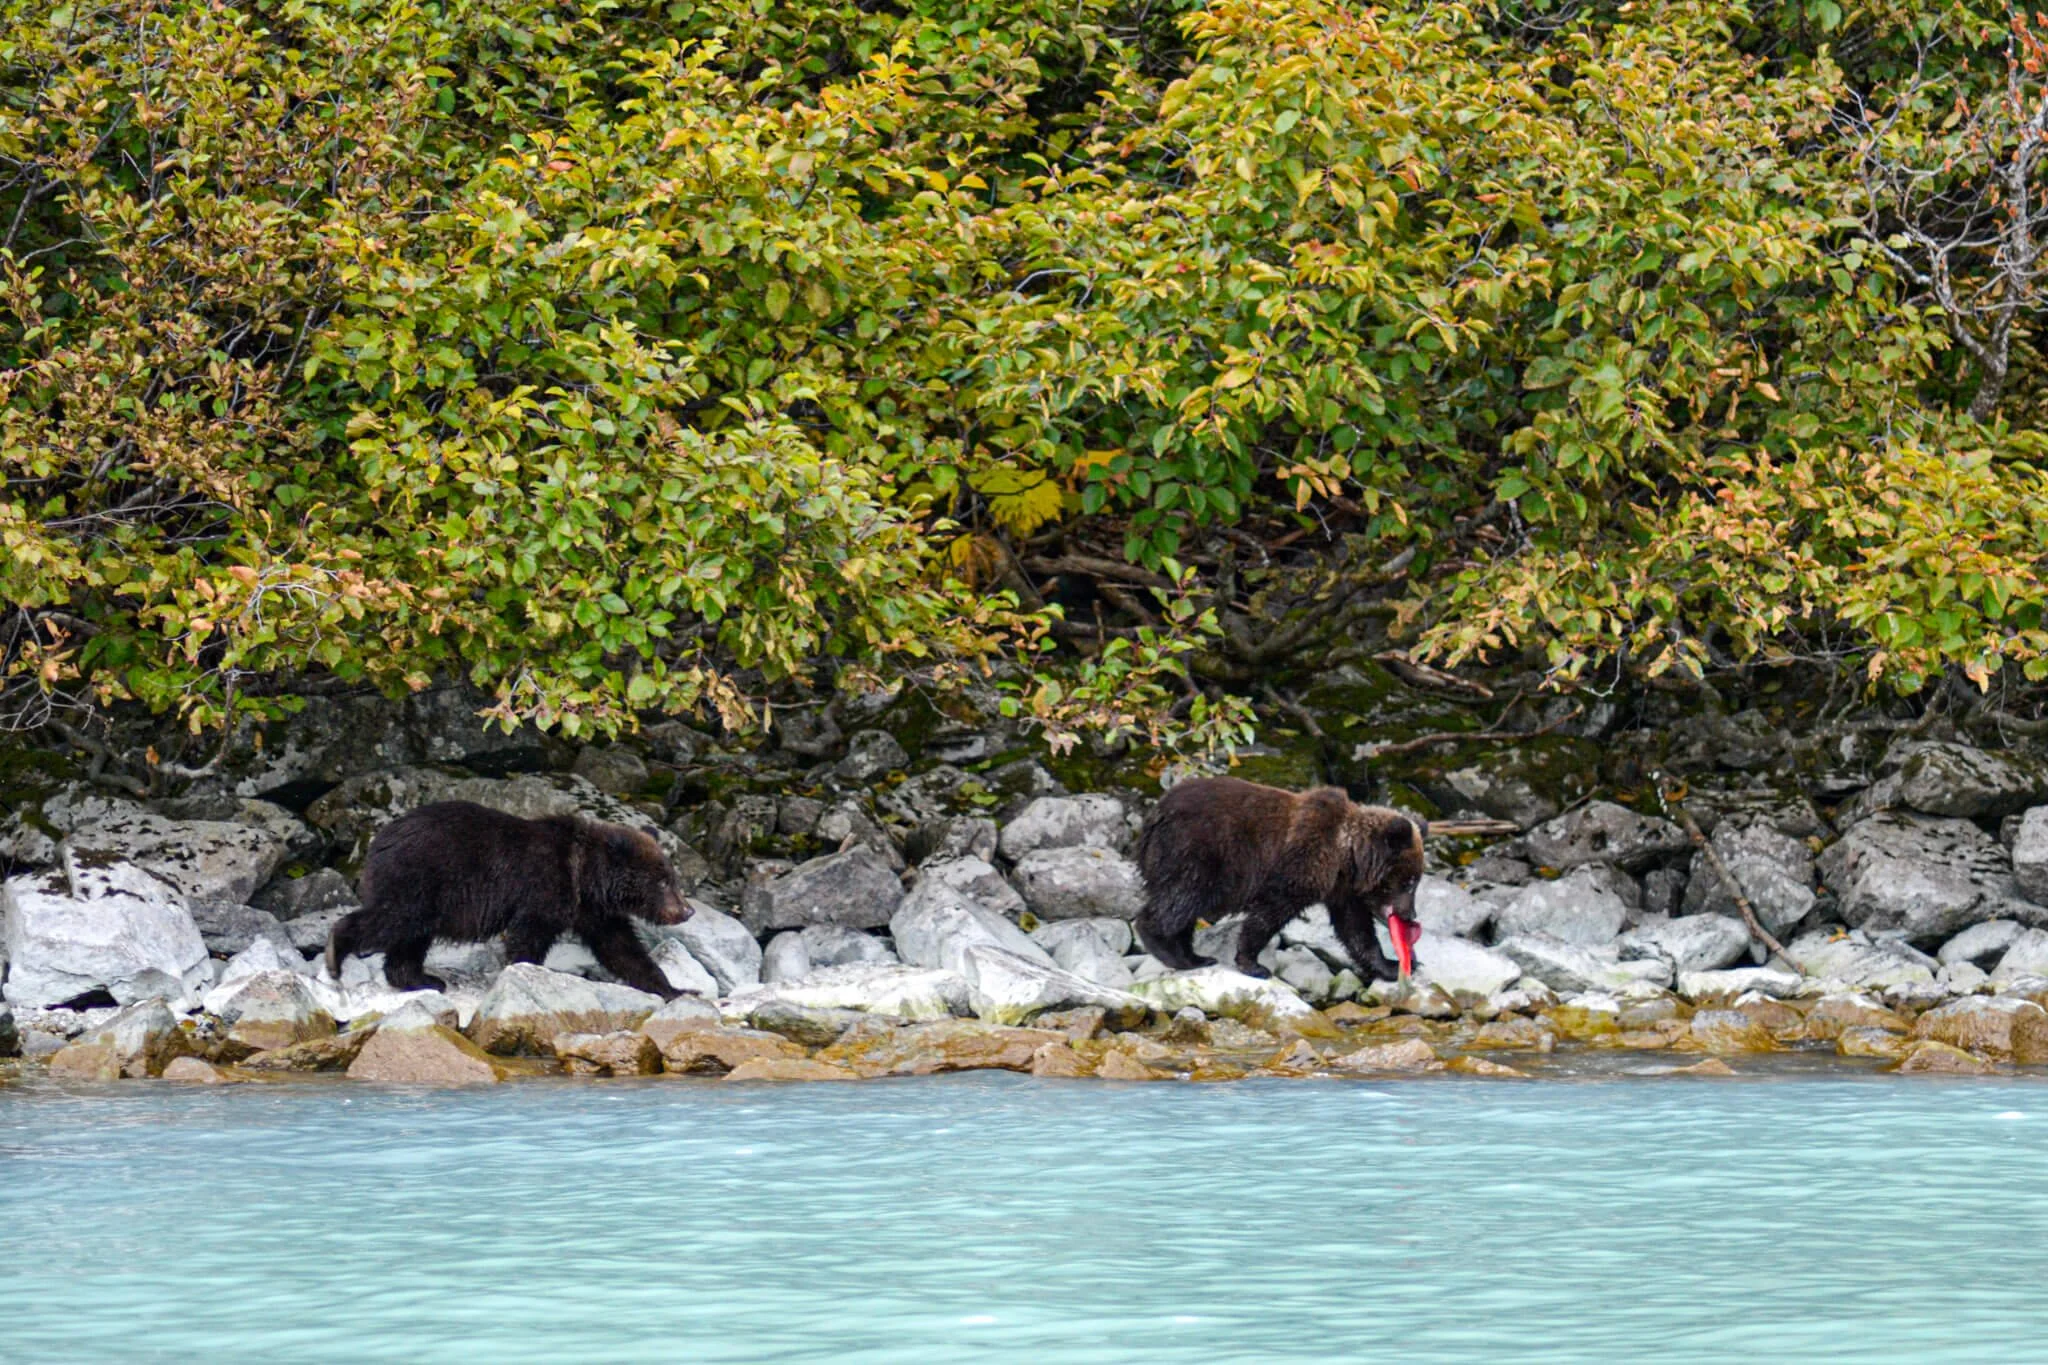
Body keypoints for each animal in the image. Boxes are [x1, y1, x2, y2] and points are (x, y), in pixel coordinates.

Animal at [325, 801, 693, 999]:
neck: (585, 877)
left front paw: (676, 990)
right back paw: (334, 954)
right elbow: (528, 936)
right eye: (662, 881)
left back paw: (423, 979)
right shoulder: (542, 889)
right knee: (393, 919)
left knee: (410, 938)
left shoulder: (591, 911)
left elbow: (622, 948)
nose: (687, 910)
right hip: (419, 879)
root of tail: (378, 840)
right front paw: (526, 973)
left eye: (672, 878)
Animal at [1133, 776, 1426, 982]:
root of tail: (1155, 814)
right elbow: (1270, 913)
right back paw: (1172, 953)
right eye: (1411, 881)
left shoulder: (1342, 891)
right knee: (1181, 899)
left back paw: (1194, 956)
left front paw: (1394, 966)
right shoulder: (1302, 865)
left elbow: (1356, 930)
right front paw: (1254, 964)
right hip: (1198, 852)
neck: (1347, 856)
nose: (1410, 914)